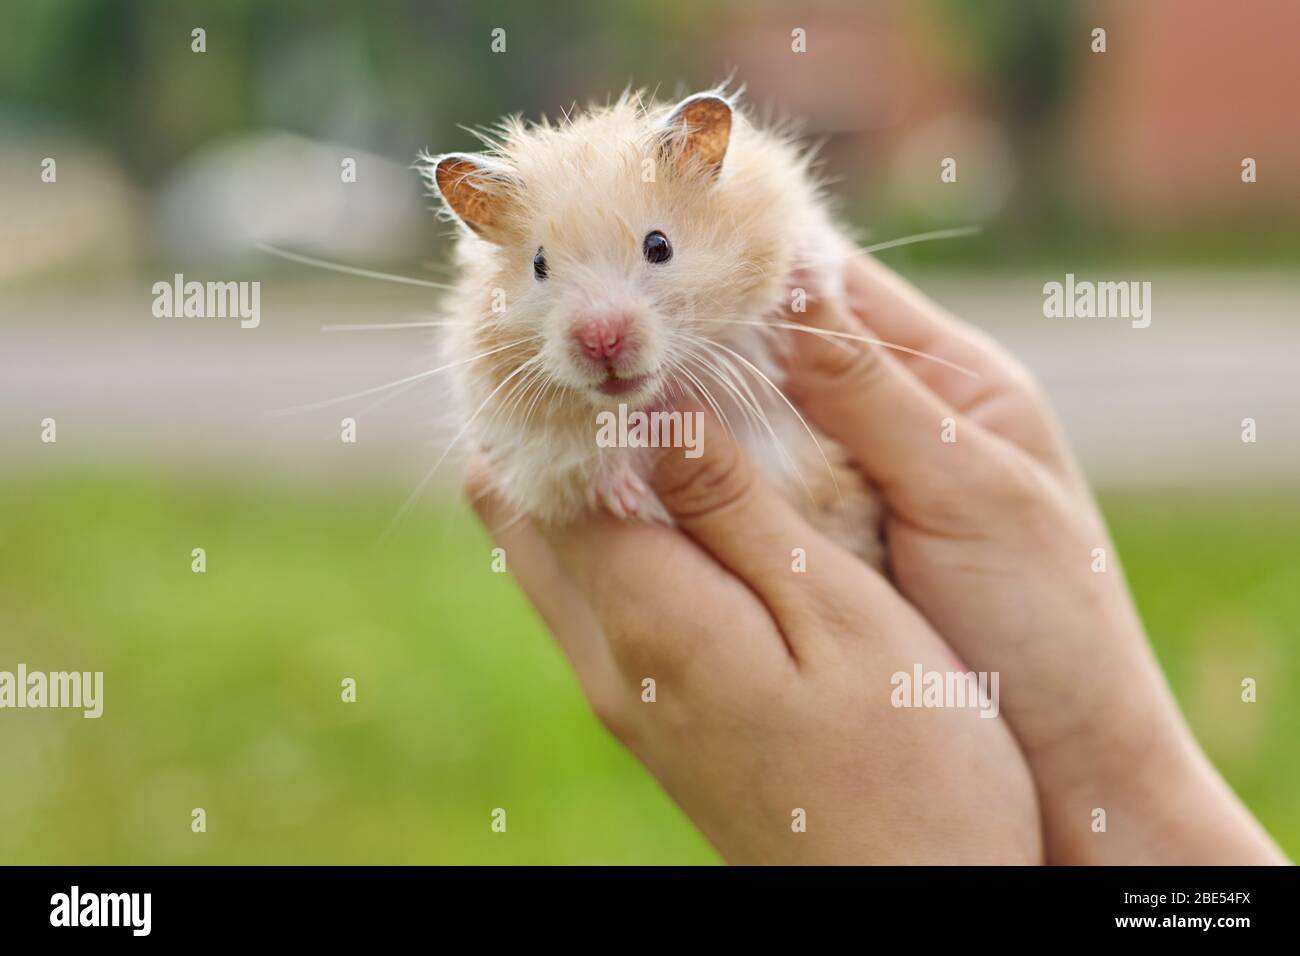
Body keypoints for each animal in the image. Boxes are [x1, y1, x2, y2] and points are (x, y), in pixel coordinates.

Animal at [419, 89, 883, 565]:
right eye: (538, 264)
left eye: (659, 245)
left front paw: (800, 281)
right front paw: (627, 495)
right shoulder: (514, 439)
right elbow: (570, 460)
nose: (600, 340)